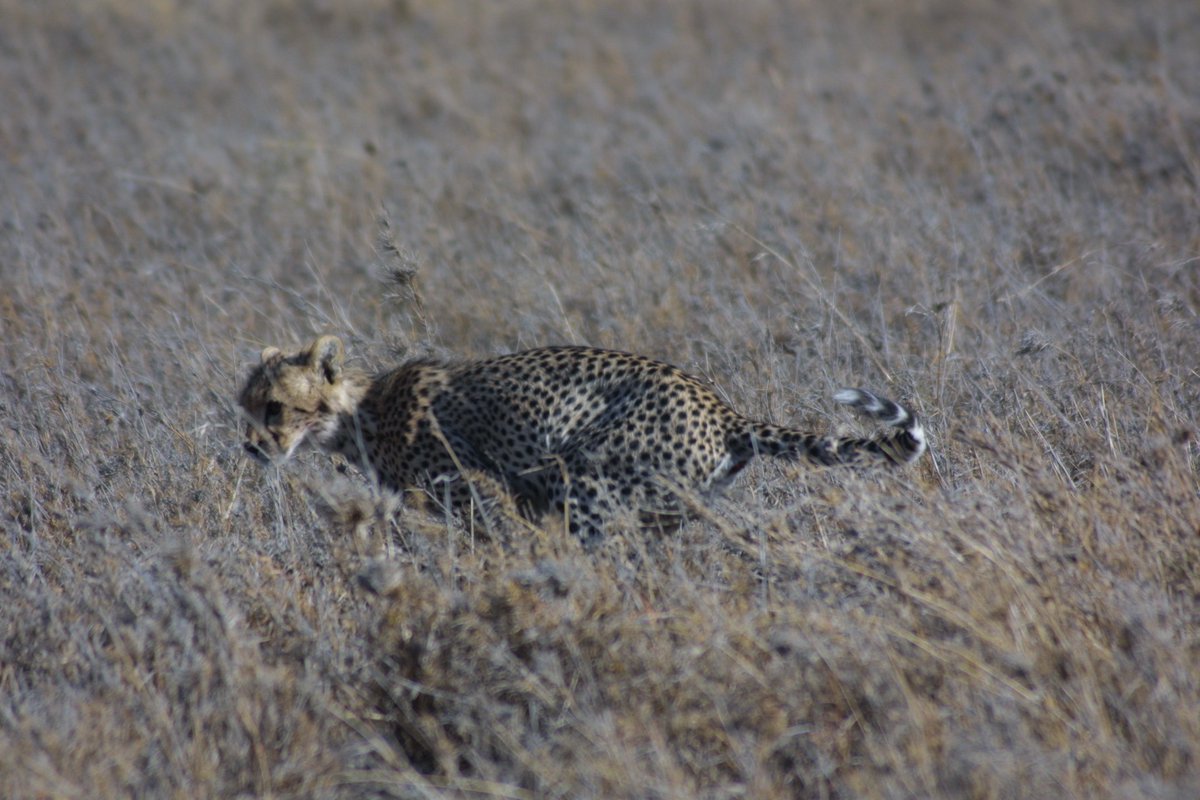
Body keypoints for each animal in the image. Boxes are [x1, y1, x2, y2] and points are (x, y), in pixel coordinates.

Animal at [238, 335, 925, 540]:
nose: (251, 446)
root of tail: (722, 408)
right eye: (244, 407)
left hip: (591, 483)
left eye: (275, 407)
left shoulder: (471, 490)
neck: (359, 413)